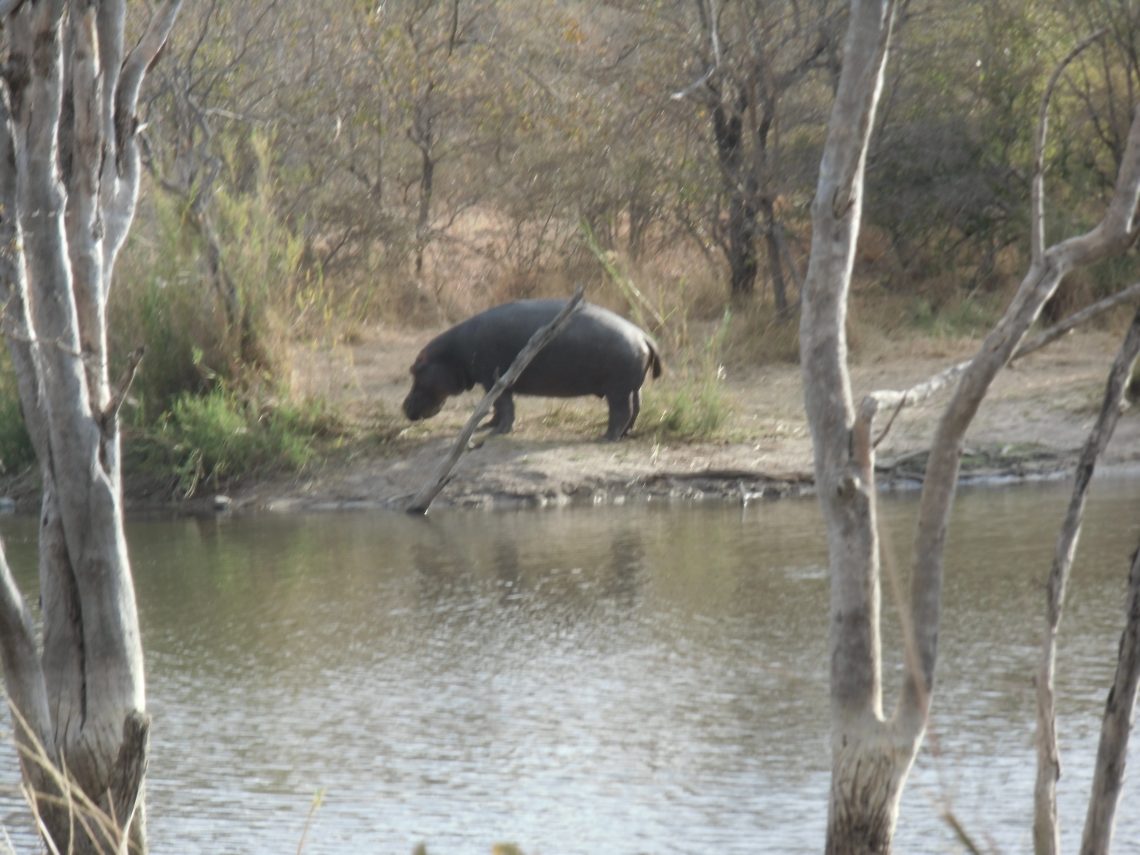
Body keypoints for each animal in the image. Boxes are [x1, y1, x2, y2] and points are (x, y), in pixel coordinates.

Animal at [403, 299, 663, 441]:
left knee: (621, 412)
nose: (404, 406)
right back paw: (623, 434)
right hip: (631, 387)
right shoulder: (492, 383)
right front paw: (489, 426)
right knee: (635, 409)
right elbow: (496, 407)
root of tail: (643, 335)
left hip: (617, 390)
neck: (452, 354)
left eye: (415, 369)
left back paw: (606, 438)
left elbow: (503, 406)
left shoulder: (494, 380)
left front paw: (497, 432)